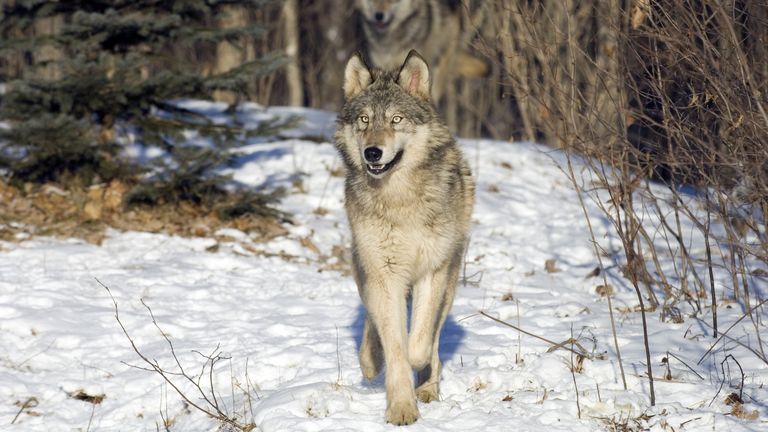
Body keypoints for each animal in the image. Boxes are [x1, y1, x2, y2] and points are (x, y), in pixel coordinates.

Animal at [334, 50, 475, 425]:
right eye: (365, 120)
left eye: (396, 119)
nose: (372, 152)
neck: (399, 199)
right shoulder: (384, 275)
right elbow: (395, 346)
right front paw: (400, 408)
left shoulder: (432, 272)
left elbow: (418, 344)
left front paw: (418, 375)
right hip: (364, 270)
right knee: (373, 322)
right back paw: (372, 360)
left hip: (450, 280)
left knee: (435, 337)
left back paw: (428, 387)